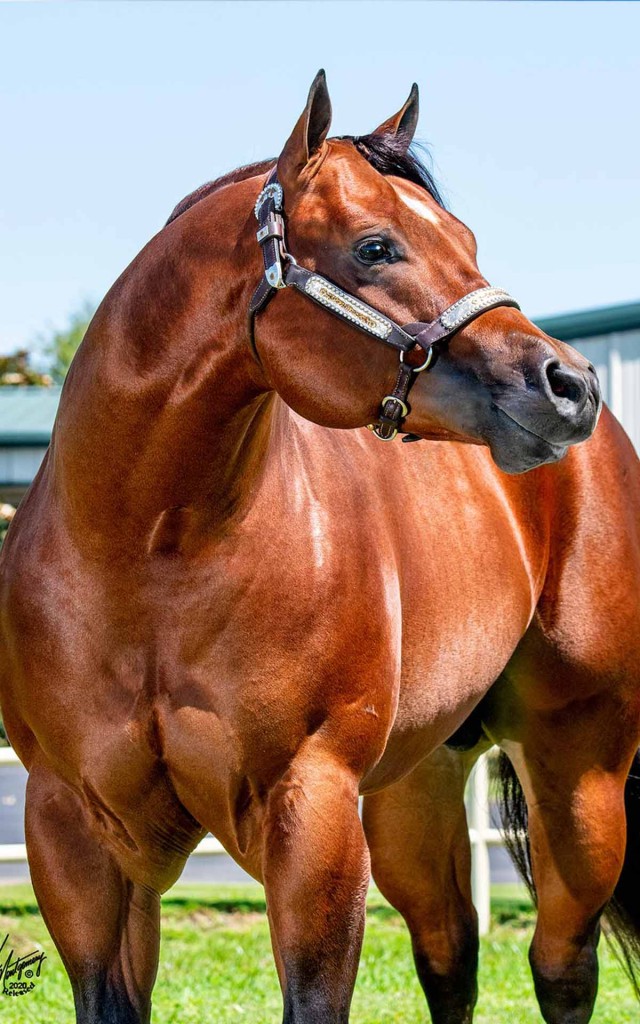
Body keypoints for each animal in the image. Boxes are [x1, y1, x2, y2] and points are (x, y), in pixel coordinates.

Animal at [1, 69, 639, 1024]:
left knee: (562, 966)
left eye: (464, 239)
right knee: (449, 954)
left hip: (579, 776)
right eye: (375, 247)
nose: (568, 385)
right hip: (418, 788)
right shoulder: (74, 837)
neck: (150, 559)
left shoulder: (315, 816)